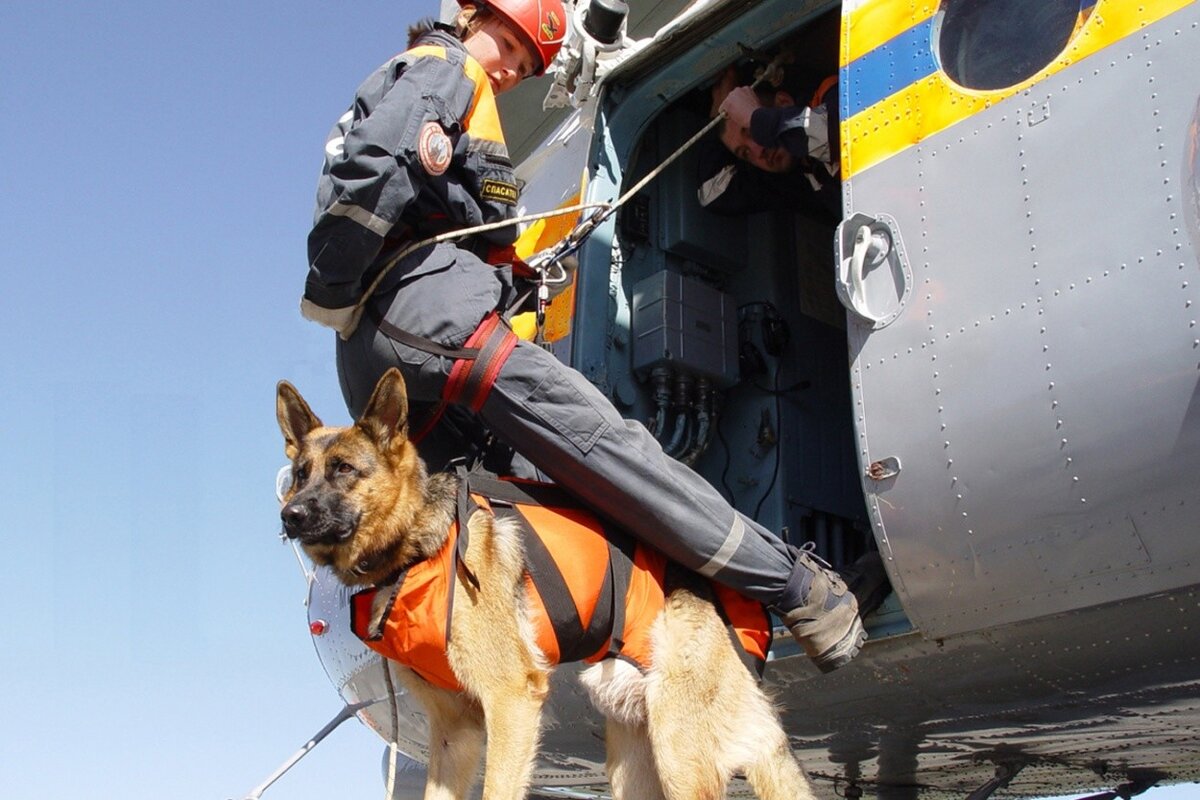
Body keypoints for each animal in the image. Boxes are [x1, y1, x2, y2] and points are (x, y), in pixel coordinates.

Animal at [276, 369, 816, 800]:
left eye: (345, 470)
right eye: (300, 475)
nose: (290, 515)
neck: (418, 541)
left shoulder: (512, 701)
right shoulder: (454, 734)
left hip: (680, 752)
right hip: (633, 759)